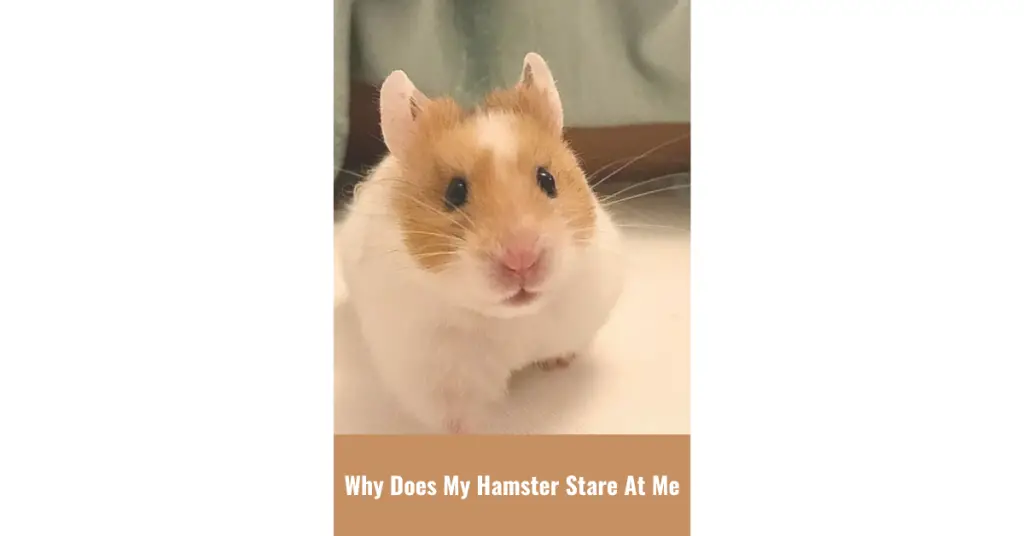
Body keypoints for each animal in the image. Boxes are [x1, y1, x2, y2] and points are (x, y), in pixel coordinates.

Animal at [335, 53, 625, 433]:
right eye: (454, 192)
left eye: (547, 180)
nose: (522, 260)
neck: (512, 320)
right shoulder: (437, 376)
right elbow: (457, 418)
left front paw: (558, 364)